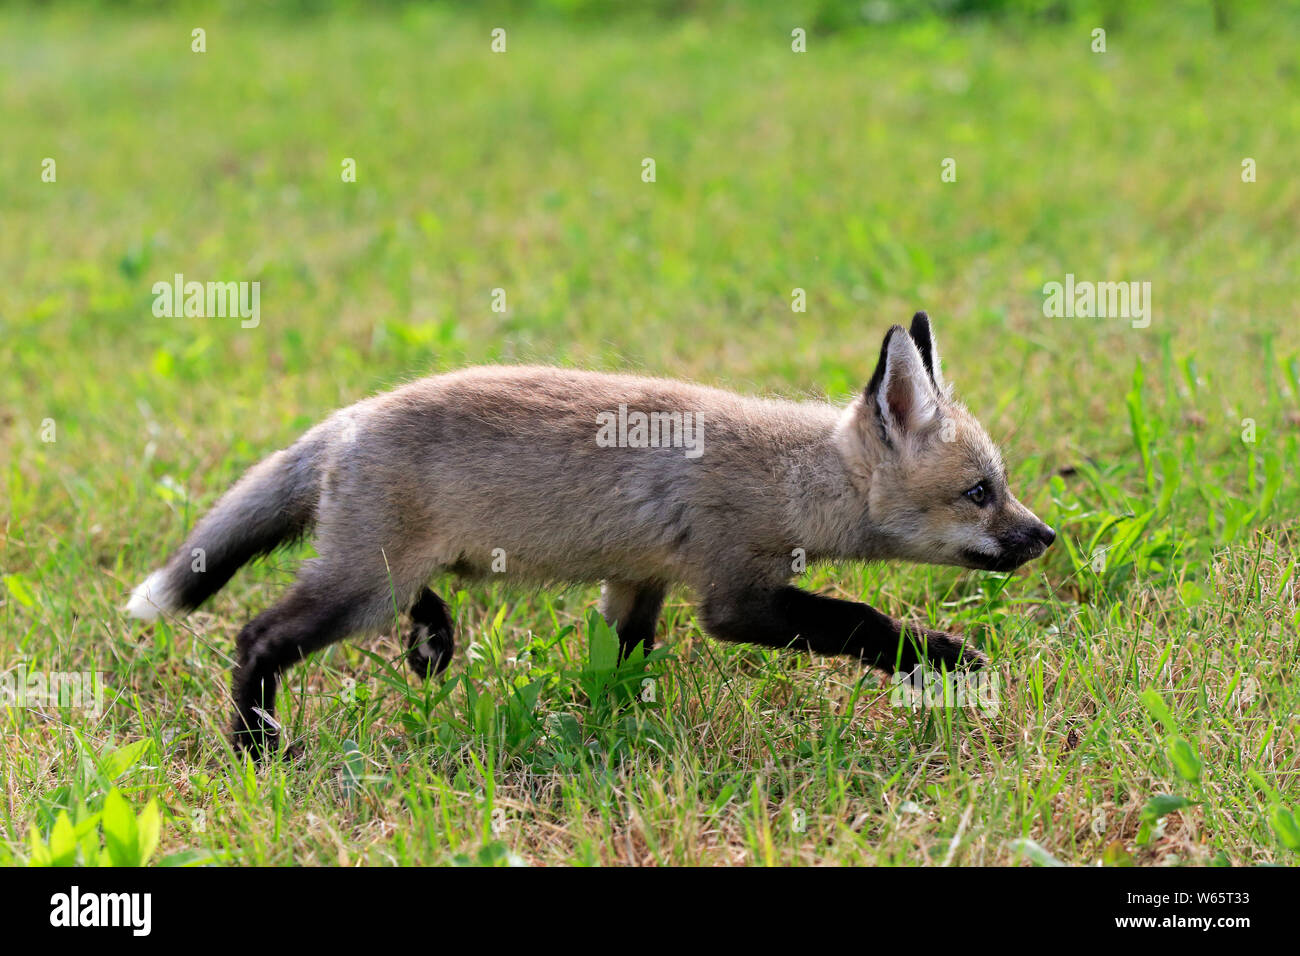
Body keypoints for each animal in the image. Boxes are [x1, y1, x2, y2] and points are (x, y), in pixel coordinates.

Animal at [127, 312, 1054, 759]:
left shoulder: (639, 579)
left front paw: (605, 723)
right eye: (980, 493)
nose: (1043, 537)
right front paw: (942, 659)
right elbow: (857, 619)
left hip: (380, 573)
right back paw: (257, 747)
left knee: (415, 600)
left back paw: (432, 639)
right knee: (257, 636)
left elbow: (620, 659)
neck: (793, 477)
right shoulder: (734, 593)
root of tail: (350, 415)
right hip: (358, 589)